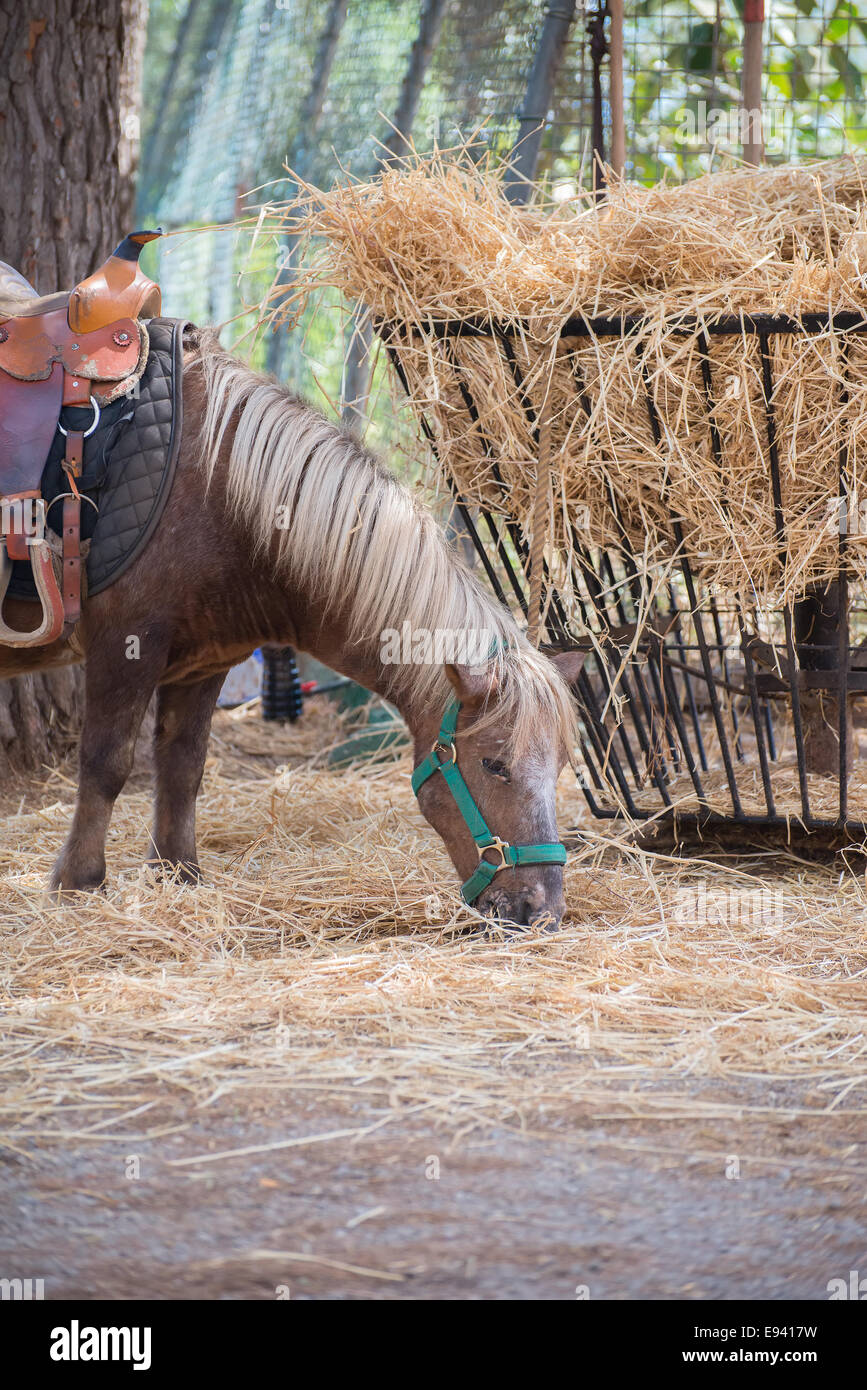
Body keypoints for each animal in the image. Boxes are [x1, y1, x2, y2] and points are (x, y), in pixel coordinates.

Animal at [0, 327, 582, 926]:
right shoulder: (125, 645)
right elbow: (105, 765)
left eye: (562, 764)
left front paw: (179, 877)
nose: (540, 910)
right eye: (494, 765)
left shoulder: (201, 665)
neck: (218, 493)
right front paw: (79, 885)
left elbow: (182, 768)